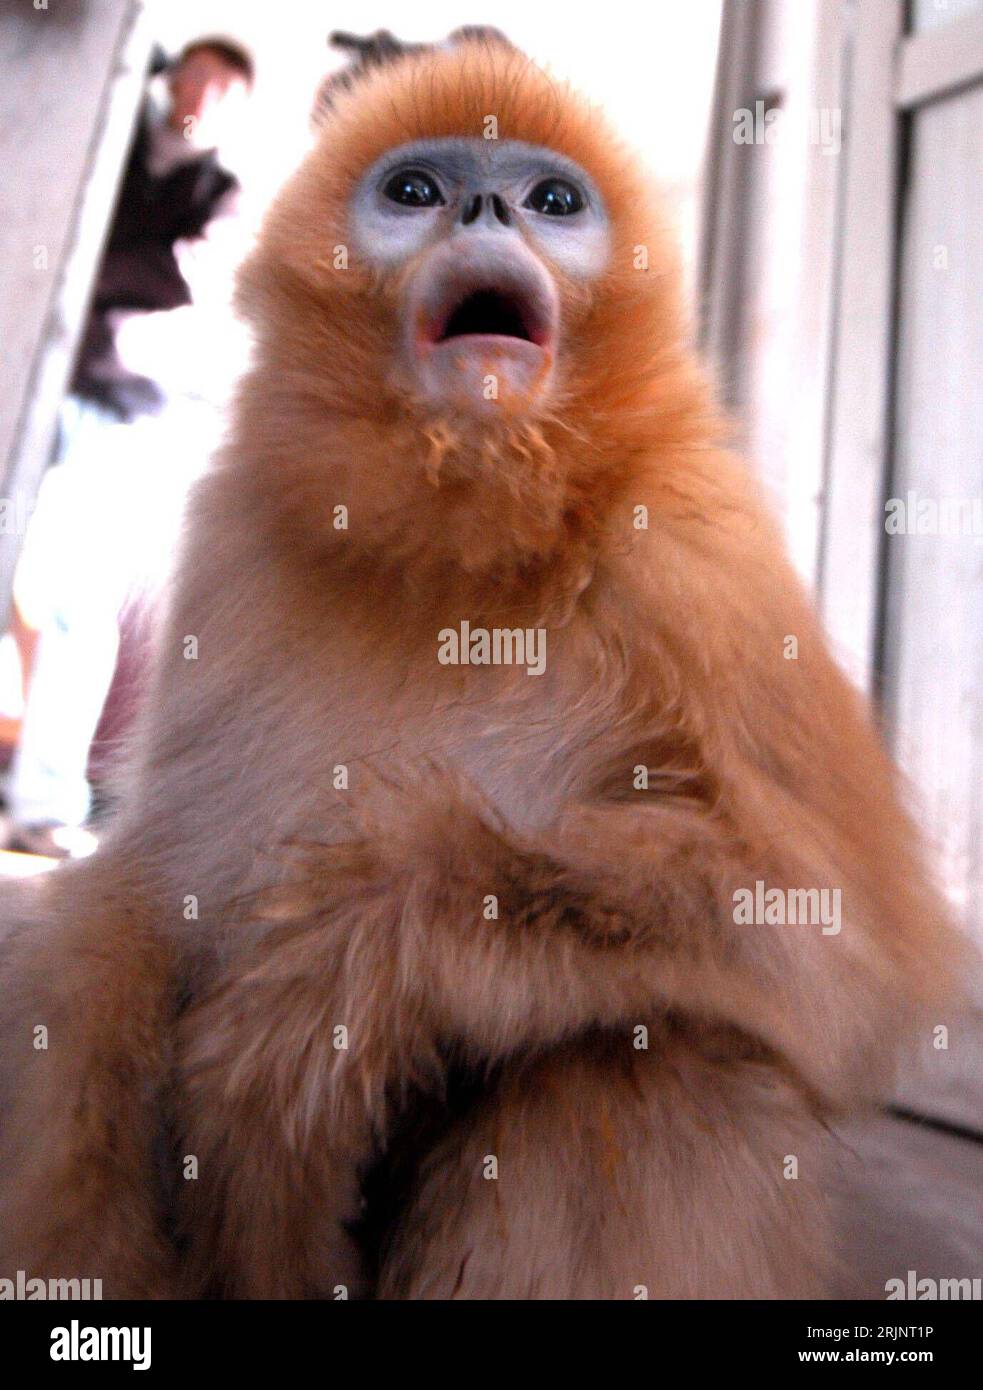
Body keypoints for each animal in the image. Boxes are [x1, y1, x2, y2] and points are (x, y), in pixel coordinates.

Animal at [0, 37, 966, 1300]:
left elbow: (832, 941)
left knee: (632, 1060)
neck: (473, 535)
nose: (484, 207)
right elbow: (143, 900)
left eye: (552, 201)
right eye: (414, 190)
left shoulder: (699, 562)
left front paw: (339, 979)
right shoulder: (236, 542)